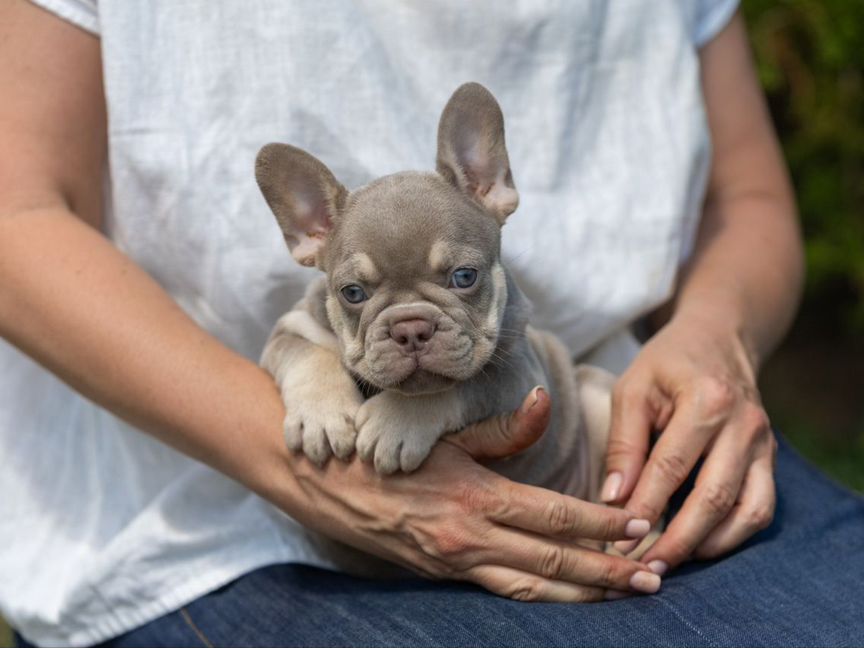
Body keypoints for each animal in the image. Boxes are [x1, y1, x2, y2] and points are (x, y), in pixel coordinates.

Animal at [255, 81, 616, 504]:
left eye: (464, 276)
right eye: (353, 293)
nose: (410, 328)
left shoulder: (521, 375)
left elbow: (464, 385)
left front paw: (396, 420)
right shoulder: (292, 326)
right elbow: (307, 354)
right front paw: (322, 416)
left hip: (596, 394)